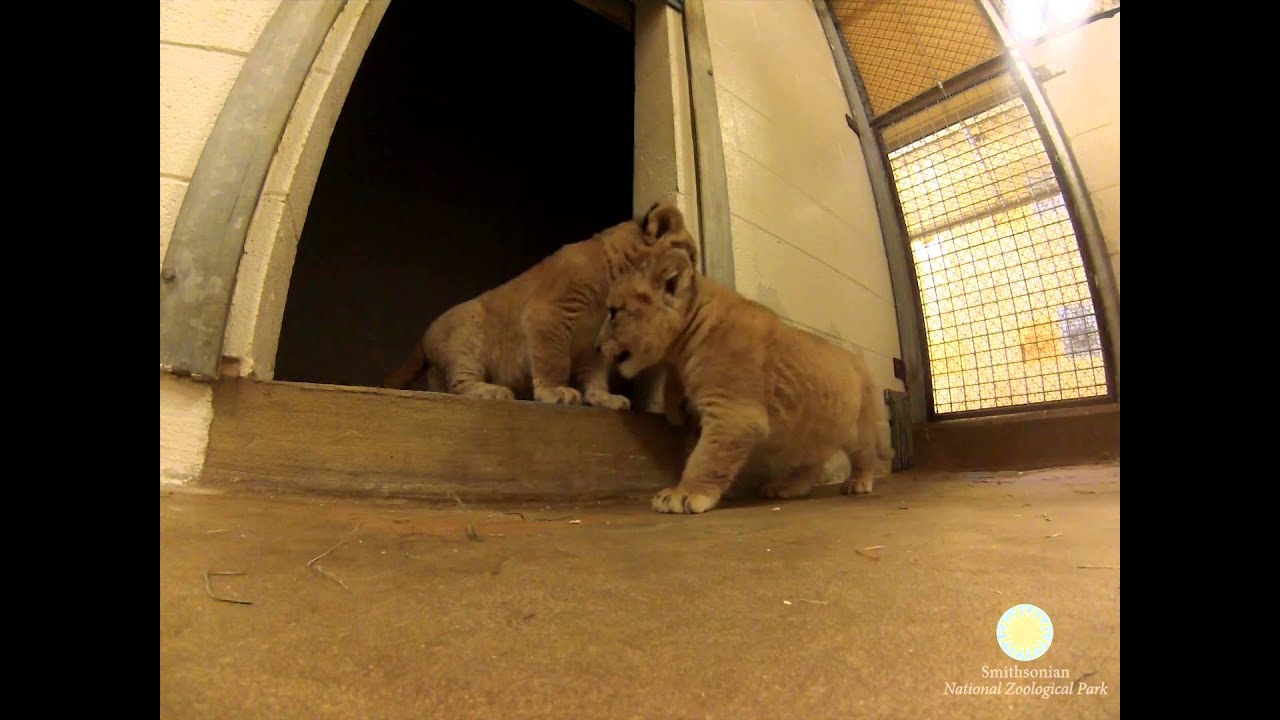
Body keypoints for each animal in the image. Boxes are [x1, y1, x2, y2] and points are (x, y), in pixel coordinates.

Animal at [383, 200, 697, 411]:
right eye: (691, 256)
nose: (697, 280)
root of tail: (424, 337)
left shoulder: (592, 345)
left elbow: (595, 375)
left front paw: (603, 398)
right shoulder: (548, 315)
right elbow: (553, 360)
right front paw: (555, 391)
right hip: (467, 338)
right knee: (459, 383)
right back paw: (491, 391)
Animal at [595, 245, 894, 514]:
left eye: (614, 311)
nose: (596, 347)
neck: (687, 339)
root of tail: (857, 358)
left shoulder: (733, 412)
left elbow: (706, 456)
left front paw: (685, 494)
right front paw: (673, 408)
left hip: (859, 426)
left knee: (864, 454)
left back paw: (858, 482)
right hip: (809, 431)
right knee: (811, 463)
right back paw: (787, 487)